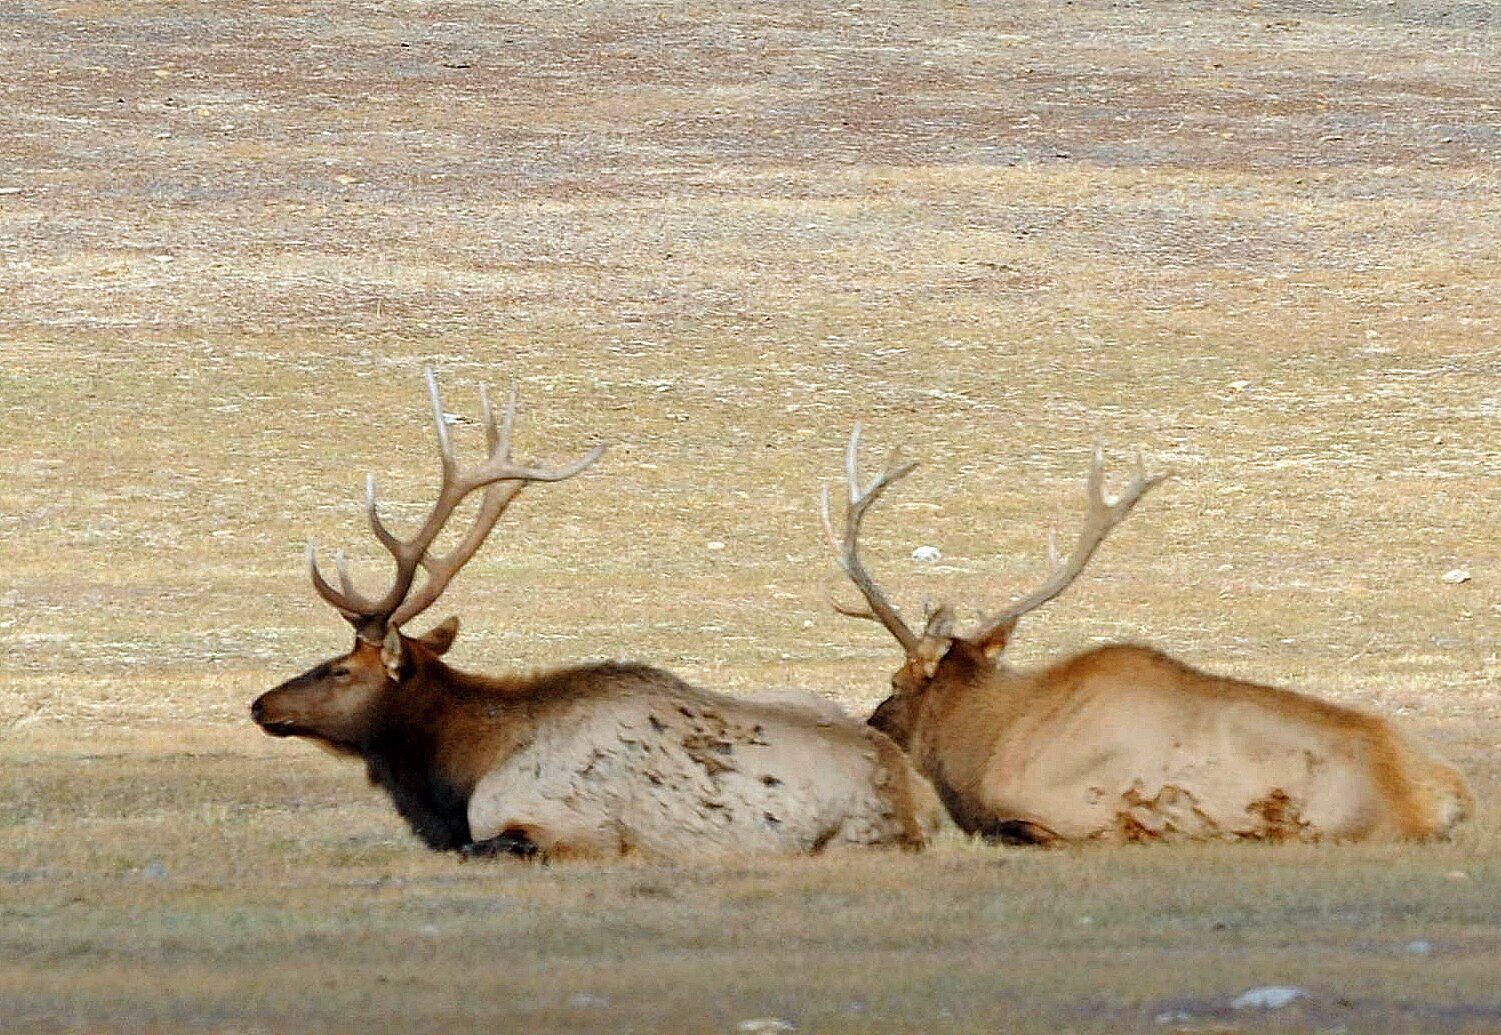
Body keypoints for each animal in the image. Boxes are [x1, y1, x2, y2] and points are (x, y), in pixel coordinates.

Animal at [250, 372, 944, 861]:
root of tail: (918, 796)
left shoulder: (564, 828)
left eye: (340, 668)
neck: (462, 768)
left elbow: (480, 848)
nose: (260, 704)